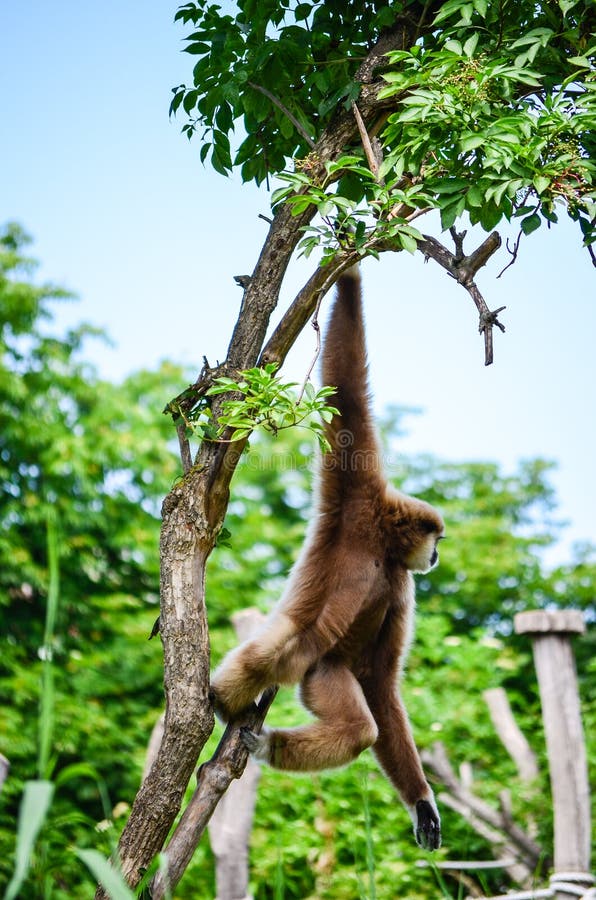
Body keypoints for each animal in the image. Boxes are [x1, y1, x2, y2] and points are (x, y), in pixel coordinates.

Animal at [210, 267, 444, 850]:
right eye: (436, 540)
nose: (435, 556)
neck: (382, 546)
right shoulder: (358, 493)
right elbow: (349, 398)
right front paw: (351, 274)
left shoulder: (401, 585)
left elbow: (380, 683)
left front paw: (422, 805)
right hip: (306, 657)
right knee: (277, 645)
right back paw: (224, 700)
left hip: (323, 673)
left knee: (359, 728)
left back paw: (267, 744)